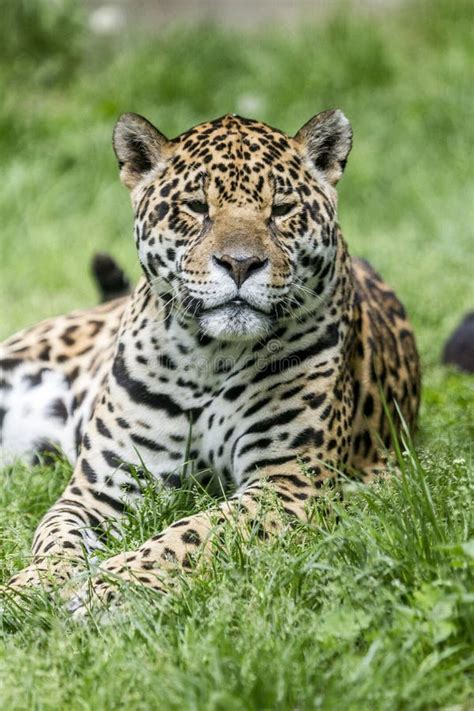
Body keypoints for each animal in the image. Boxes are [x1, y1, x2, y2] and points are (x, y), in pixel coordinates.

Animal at [0, 110, 420, 616]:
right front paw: (25, 589)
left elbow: (192, 534)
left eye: (281, 210)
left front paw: (112, 585)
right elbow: (56, 541)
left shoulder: (287, 483)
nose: (240, 264)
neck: (209, 357)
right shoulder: (99, 489)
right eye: (197, 207)